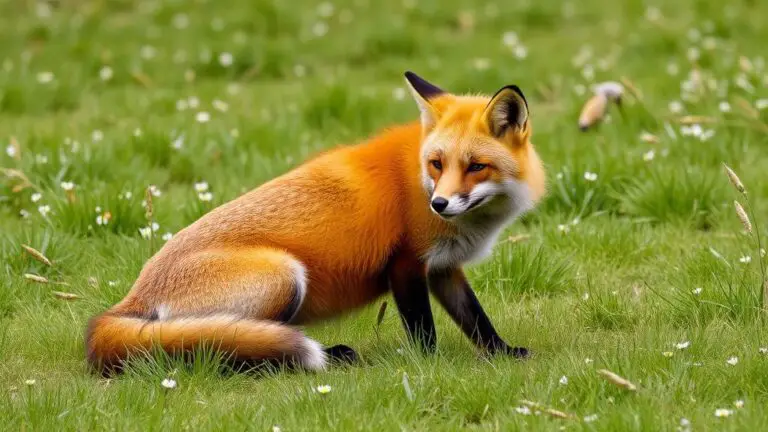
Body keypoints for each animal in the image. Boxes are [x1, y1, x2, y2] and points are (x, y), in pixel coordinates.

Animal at [85, 71, 546, 375]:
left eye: (476, 166)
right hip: (285, 276)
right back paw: (325, 357)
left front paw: (503, 353)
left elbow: (477, 320)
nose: (439, 203)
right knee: (231, 346)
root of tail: (132, 296)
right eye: (437, 163)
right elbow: (424, 332)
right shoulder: (406, 265)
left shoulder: (443, 268)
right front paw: (428, 367)